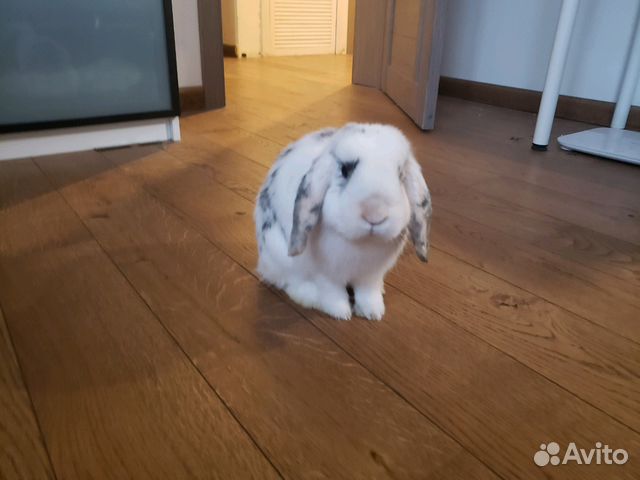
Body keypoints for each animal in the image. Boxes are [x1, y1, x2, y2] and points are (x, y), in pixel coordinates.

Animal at [254, 123, 432, 320]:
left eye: (401, 174)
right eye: (344, 170)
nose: (375, 215)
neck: (364, 243)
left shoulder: (371, 275)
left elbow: (368, 293)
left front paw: (373, 313)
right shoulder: (326, 275)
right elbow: (333, 293)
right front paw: (341, 314)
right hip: (280, 256)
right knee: (288, 281)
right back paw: (308, 296)